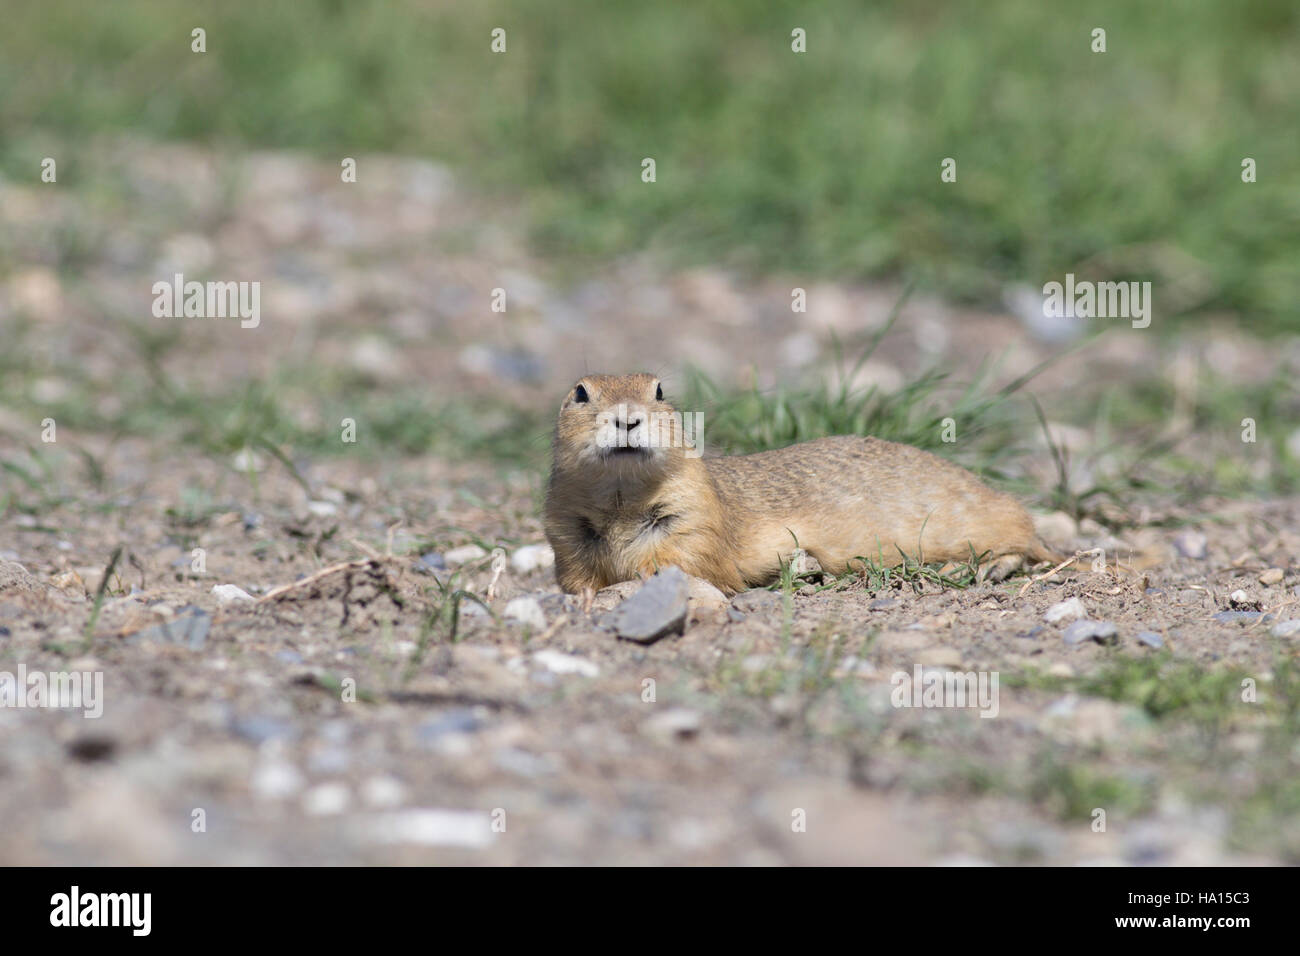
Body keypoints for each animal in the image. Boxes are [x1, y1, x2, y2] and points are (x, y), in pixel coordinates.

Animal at [543, 373, 1063, 596]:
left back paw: (979, 567)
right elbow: (577, 577)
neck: (621, 497)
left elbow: (688, 566)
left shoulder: (694, 521)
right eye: (580, 392)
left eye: (659, 391)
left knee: (1024, 539)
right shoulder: (566, 530)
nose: (627, 418)